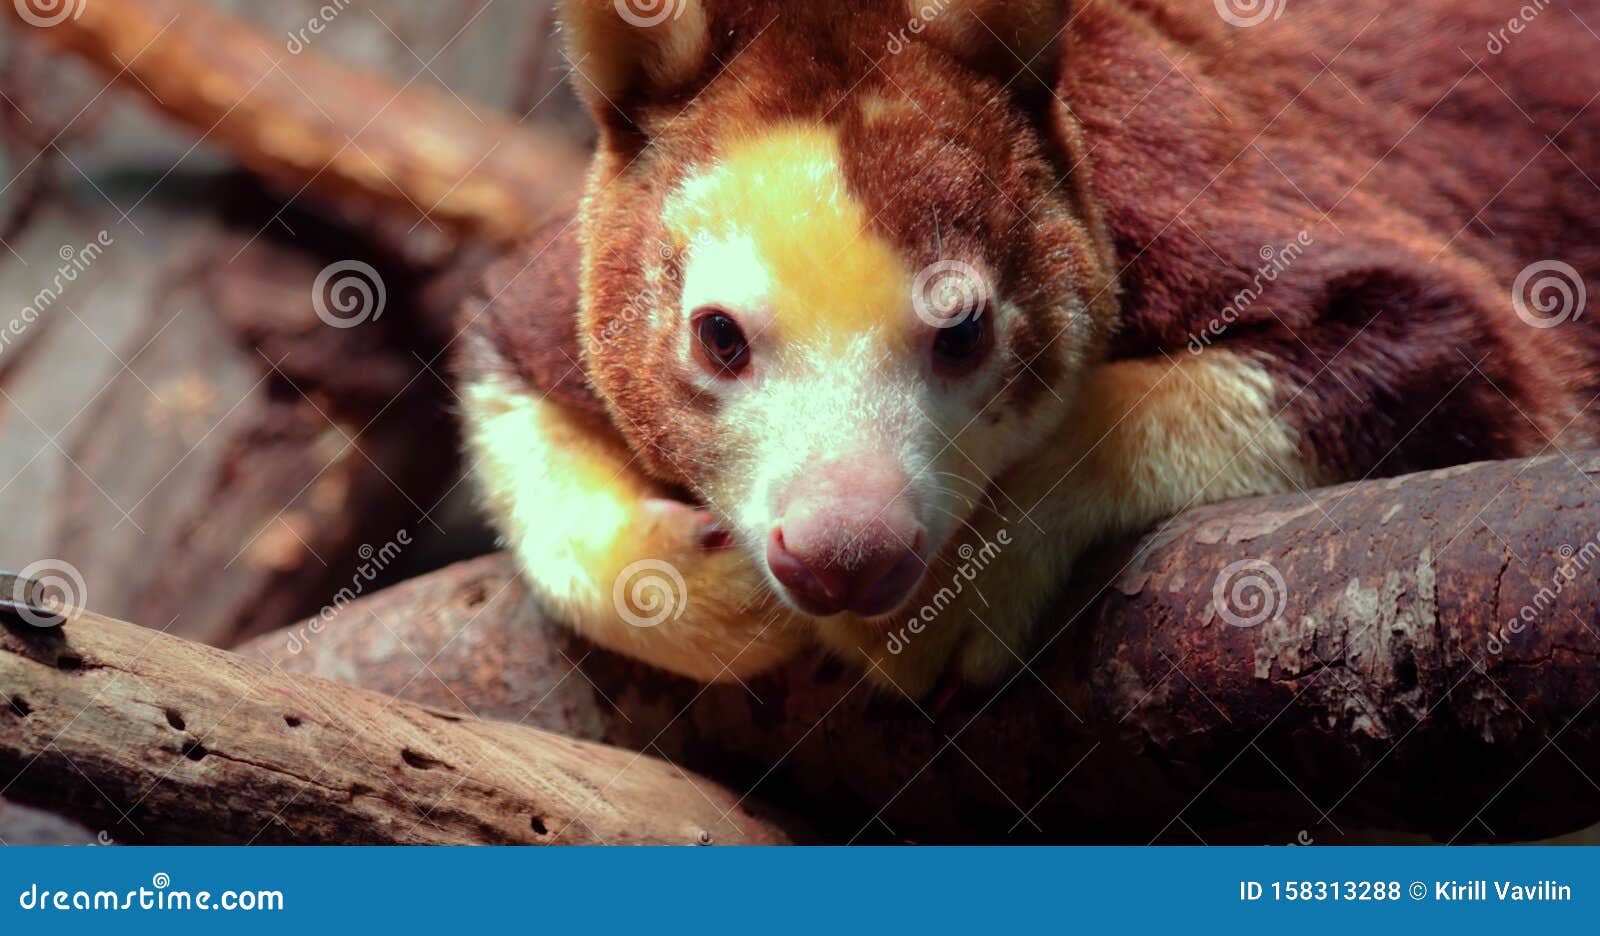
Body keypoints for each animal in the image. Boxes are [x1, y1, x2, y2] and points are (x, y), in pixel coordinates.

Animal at [460, 0, 1600, 697]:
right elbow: (499, 345)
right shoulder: (581, 281)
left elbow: (1453, 346)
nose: (843, 560)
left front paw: (954, 594)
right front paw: (708, 591)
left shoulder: (1163, 170)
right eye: (718, 337)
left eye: (962, 331)